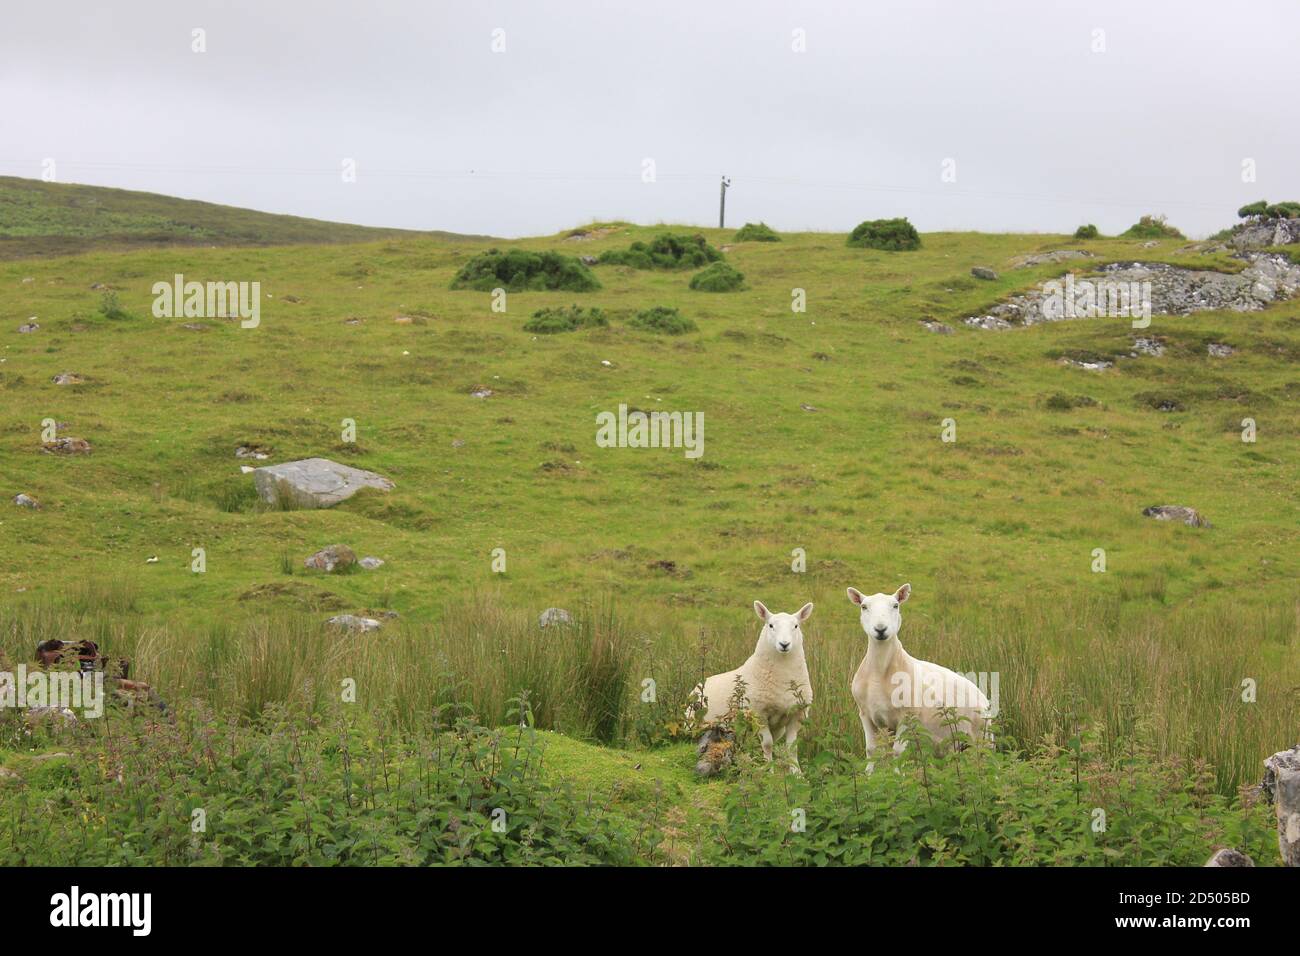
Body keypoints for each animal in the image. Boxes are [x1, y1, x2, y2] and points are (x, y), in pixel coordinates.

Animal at [687, 601, 814, 776]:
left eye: (796, 626)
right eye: (770, 625)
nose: (784, 644)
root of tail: (700, 683)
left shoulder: (797, 714)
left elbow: (791, 748)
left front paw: (797, 773)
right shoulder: (758, 713)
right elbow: (767, 744)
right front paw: (769, 771)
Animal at [847, 584, 991, 770]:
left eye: (896, 605)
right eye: (864, 607)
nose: (880, 629)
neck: (879, 674)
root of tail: (982, 696)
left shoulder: (907, 716)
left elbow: (898, 753)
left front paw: (897, 776)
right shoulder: (865, 714)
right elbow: (871, 750)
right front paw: (870, 776)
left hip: (983, 736)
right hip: (954, 744)